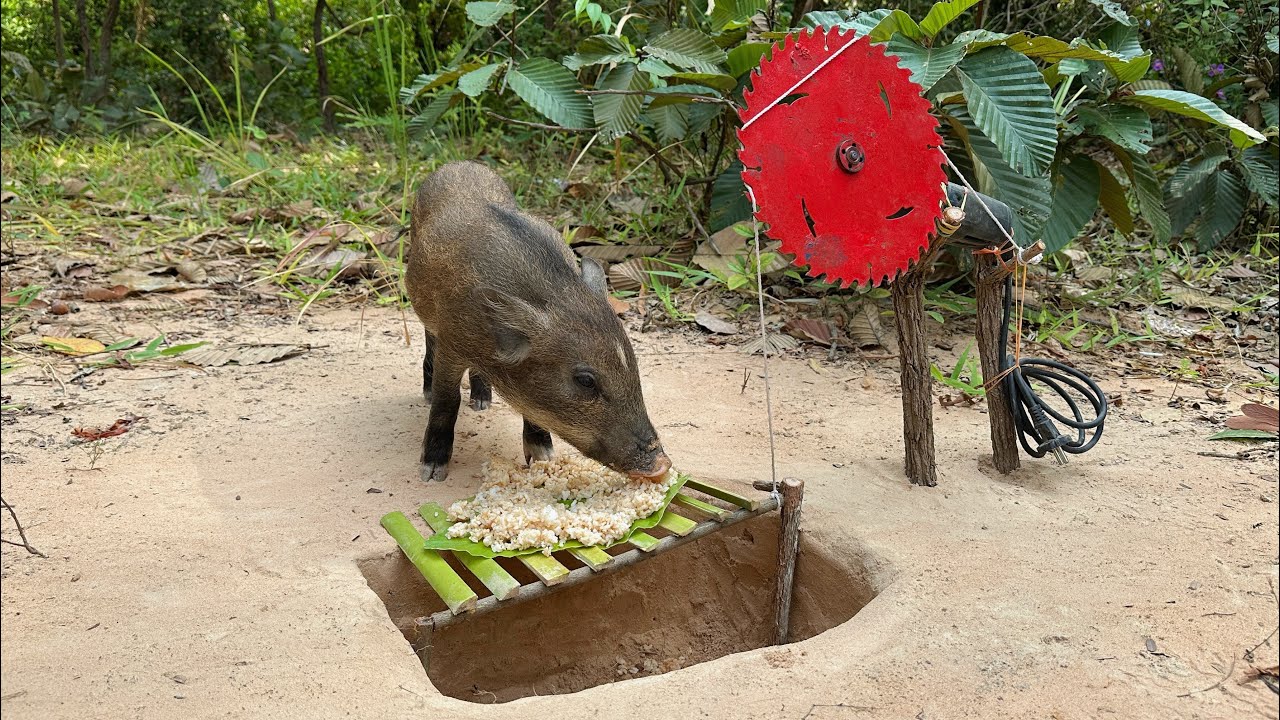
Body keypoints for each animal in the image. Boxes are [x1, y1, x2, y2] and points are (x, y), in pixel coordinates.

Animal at [405, 161, 671, 482]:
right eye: (585, 381)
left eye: (634, 364)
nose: (662, 465)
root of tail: (460, 163)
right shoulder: (451, 343)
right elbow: (447, 402)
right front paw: (432, 473)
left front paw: (544, 459)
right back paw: (431, 395)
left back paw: (482, 404)